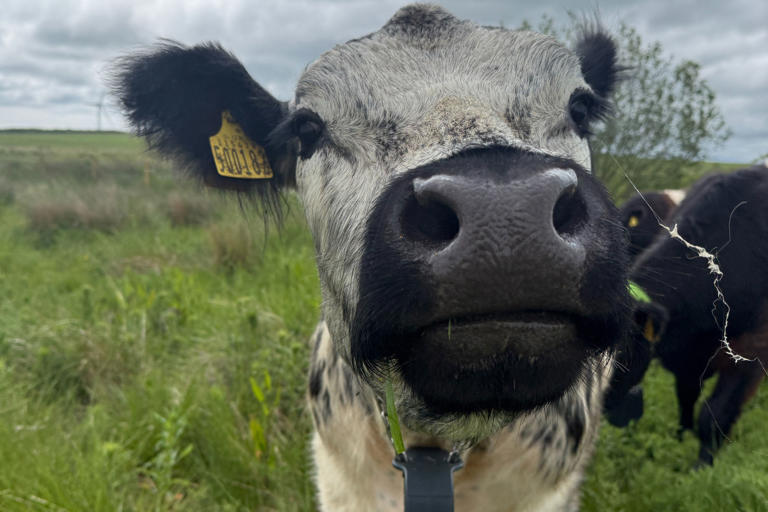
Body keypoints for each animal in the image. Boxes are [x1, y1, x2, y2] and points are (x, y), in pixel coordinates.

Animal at [629, 165, 768, 465]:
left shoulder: (752, 354)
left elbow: (714, 415)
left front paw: (702, 466)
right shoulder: (688, 360)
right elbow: (686, 398)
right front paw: (680, 436)